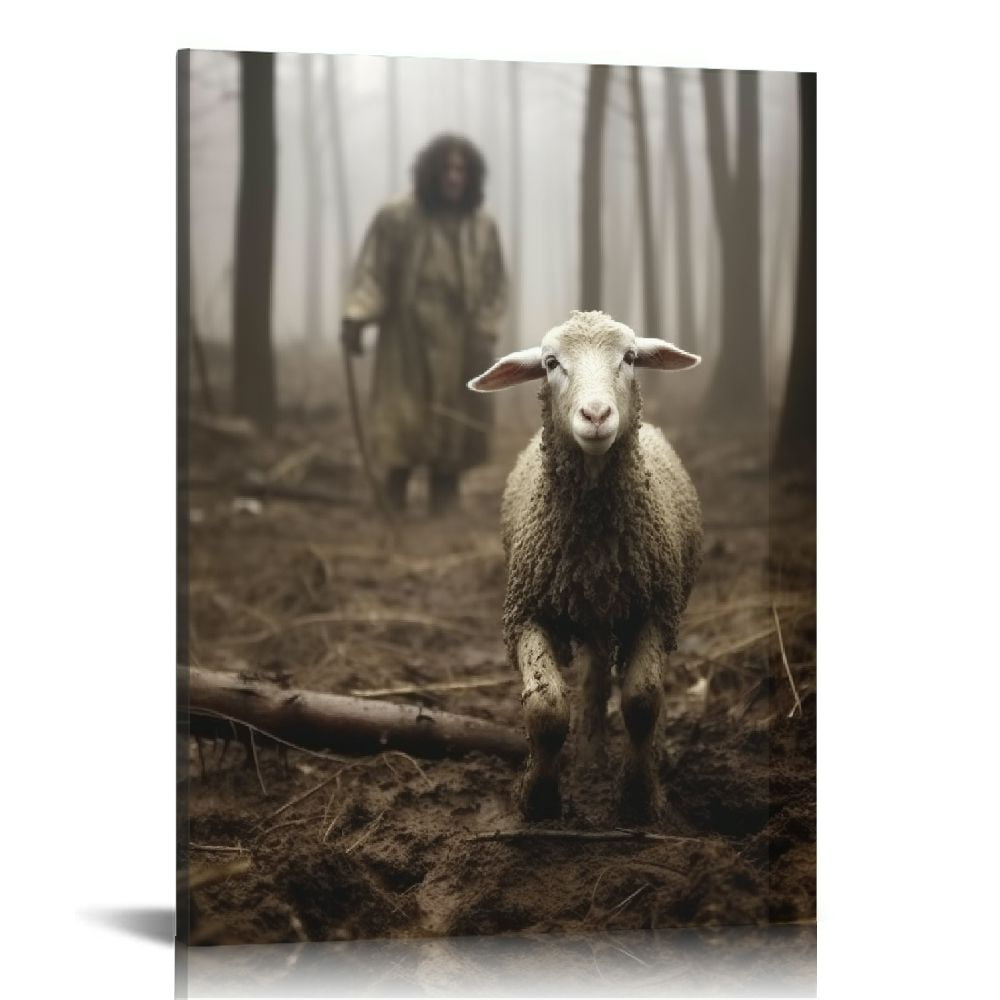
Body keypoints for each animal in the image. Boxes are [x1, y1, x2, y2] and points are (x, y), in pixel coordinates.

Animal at [467, 310, 703, 822]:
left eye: (630, 357)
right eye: (551, 363)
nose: (595, 416)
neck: (594, 547)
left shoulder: (655, 609)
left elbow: (642, 701)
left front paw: (638, 796)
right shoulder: (525, 611)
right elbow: (546, 707)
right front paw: (538, 797)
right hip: (593, 617)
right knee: (593, 679)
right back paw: (590, 754)